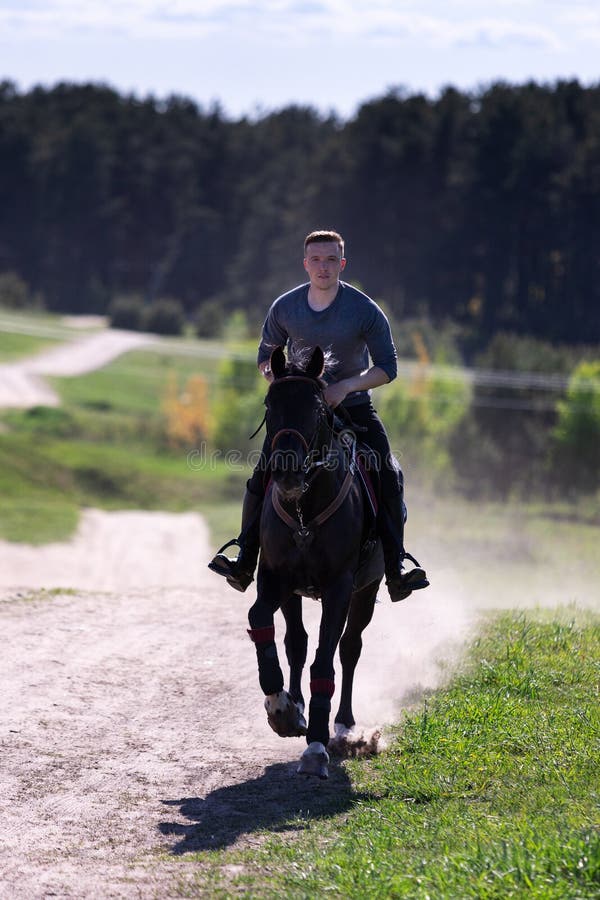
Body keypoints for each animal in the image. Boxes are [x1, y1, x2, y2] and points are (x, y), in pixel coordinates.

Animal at [247, 344, 384, 779]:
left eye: (317, 408)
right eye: (270, 405)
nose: (287, 471)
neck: (305, 511)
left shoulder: (340, 587)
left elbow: (326, 662)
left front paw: (317, 747)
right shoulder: (275, 579)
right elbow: (263, 622)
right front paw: (282, 707)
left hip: (366, 590)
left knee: (349, 648)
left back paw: (343, 724)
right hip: (295, 593)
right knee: (297, 642)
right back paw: (296, 706)